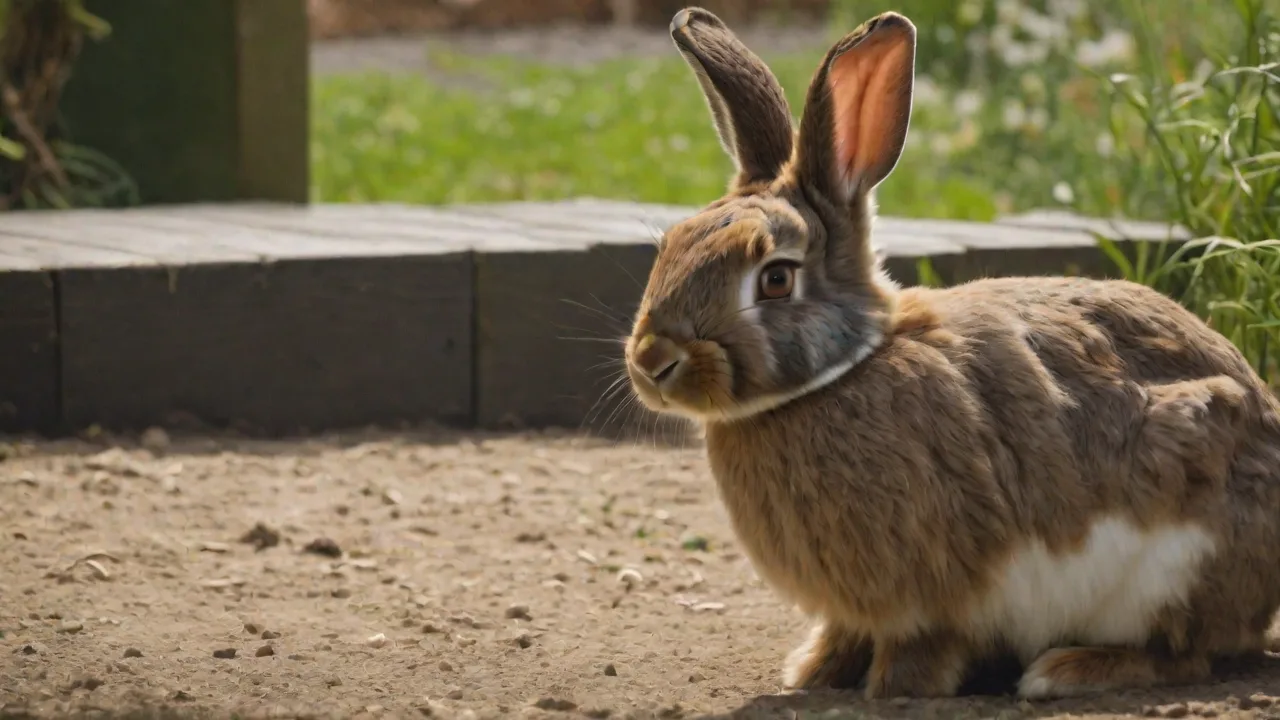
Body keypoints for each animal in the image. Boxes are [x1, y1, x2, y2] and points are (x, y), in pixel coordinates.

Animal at [623, 5, 1280, 700]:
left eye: (775, 278)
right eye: (672, 244)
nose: (651, 362)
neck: (843, 371)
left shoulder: (935, 592)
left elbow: (925, 644)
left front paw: (893, 687)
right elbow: (844, 635)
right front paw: (814, 671)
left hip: (1181, 556)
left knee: (1186, 654)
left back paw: (1065, 670)